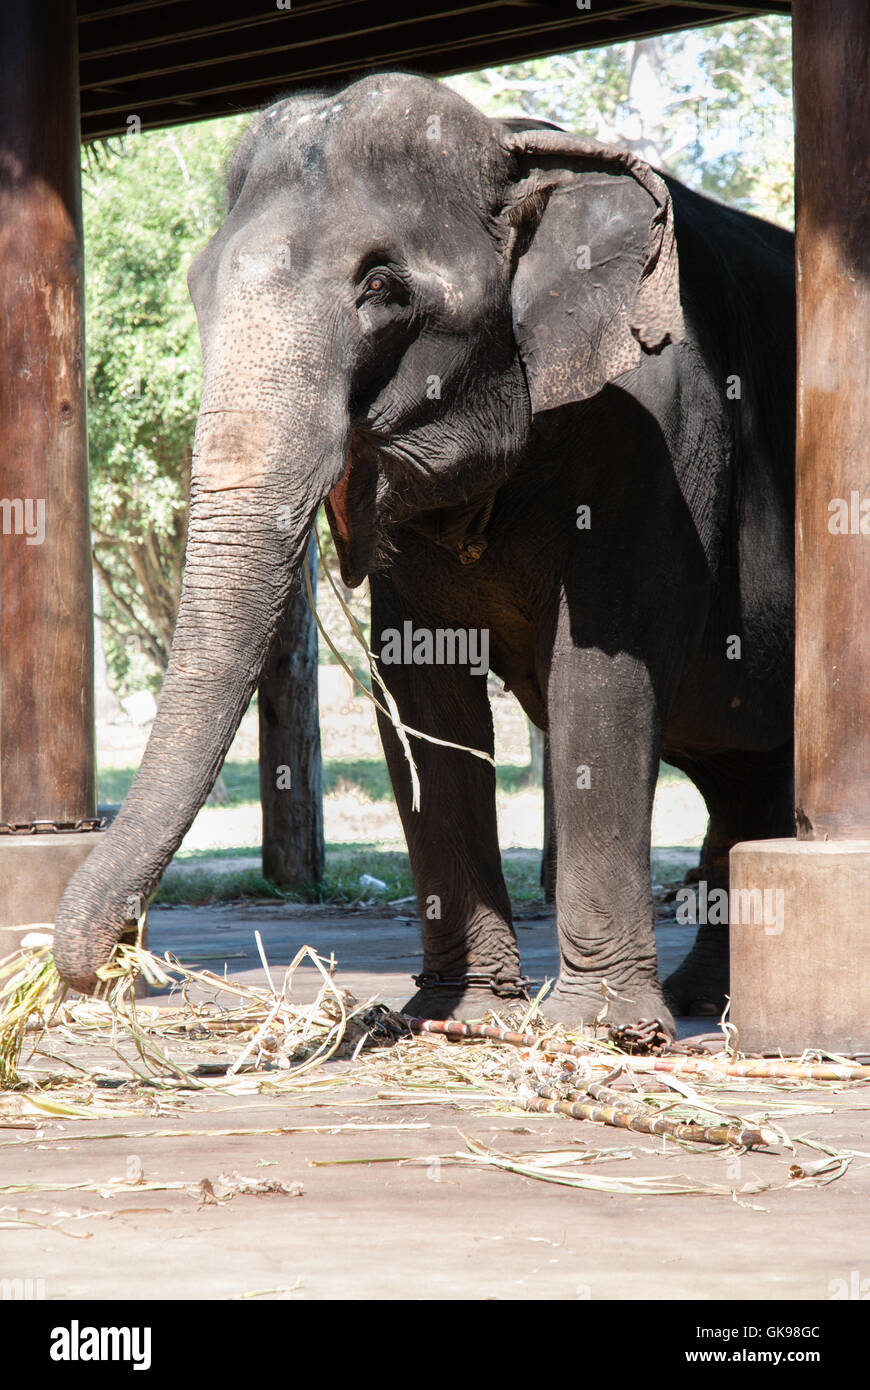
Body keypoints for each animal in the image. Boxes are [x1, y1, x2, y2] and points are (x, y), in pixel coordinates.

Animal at [53, 72, 796, 1033]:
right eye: (195, 287)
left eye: (381, 285)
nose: (107, 967)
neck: (518, 146)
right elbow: (419, 683)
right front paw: (458, 1016)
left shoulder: (653, 428)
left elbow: (600, 672)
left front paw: (599, 1030)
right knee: (741, 773)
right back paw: (704, 994)